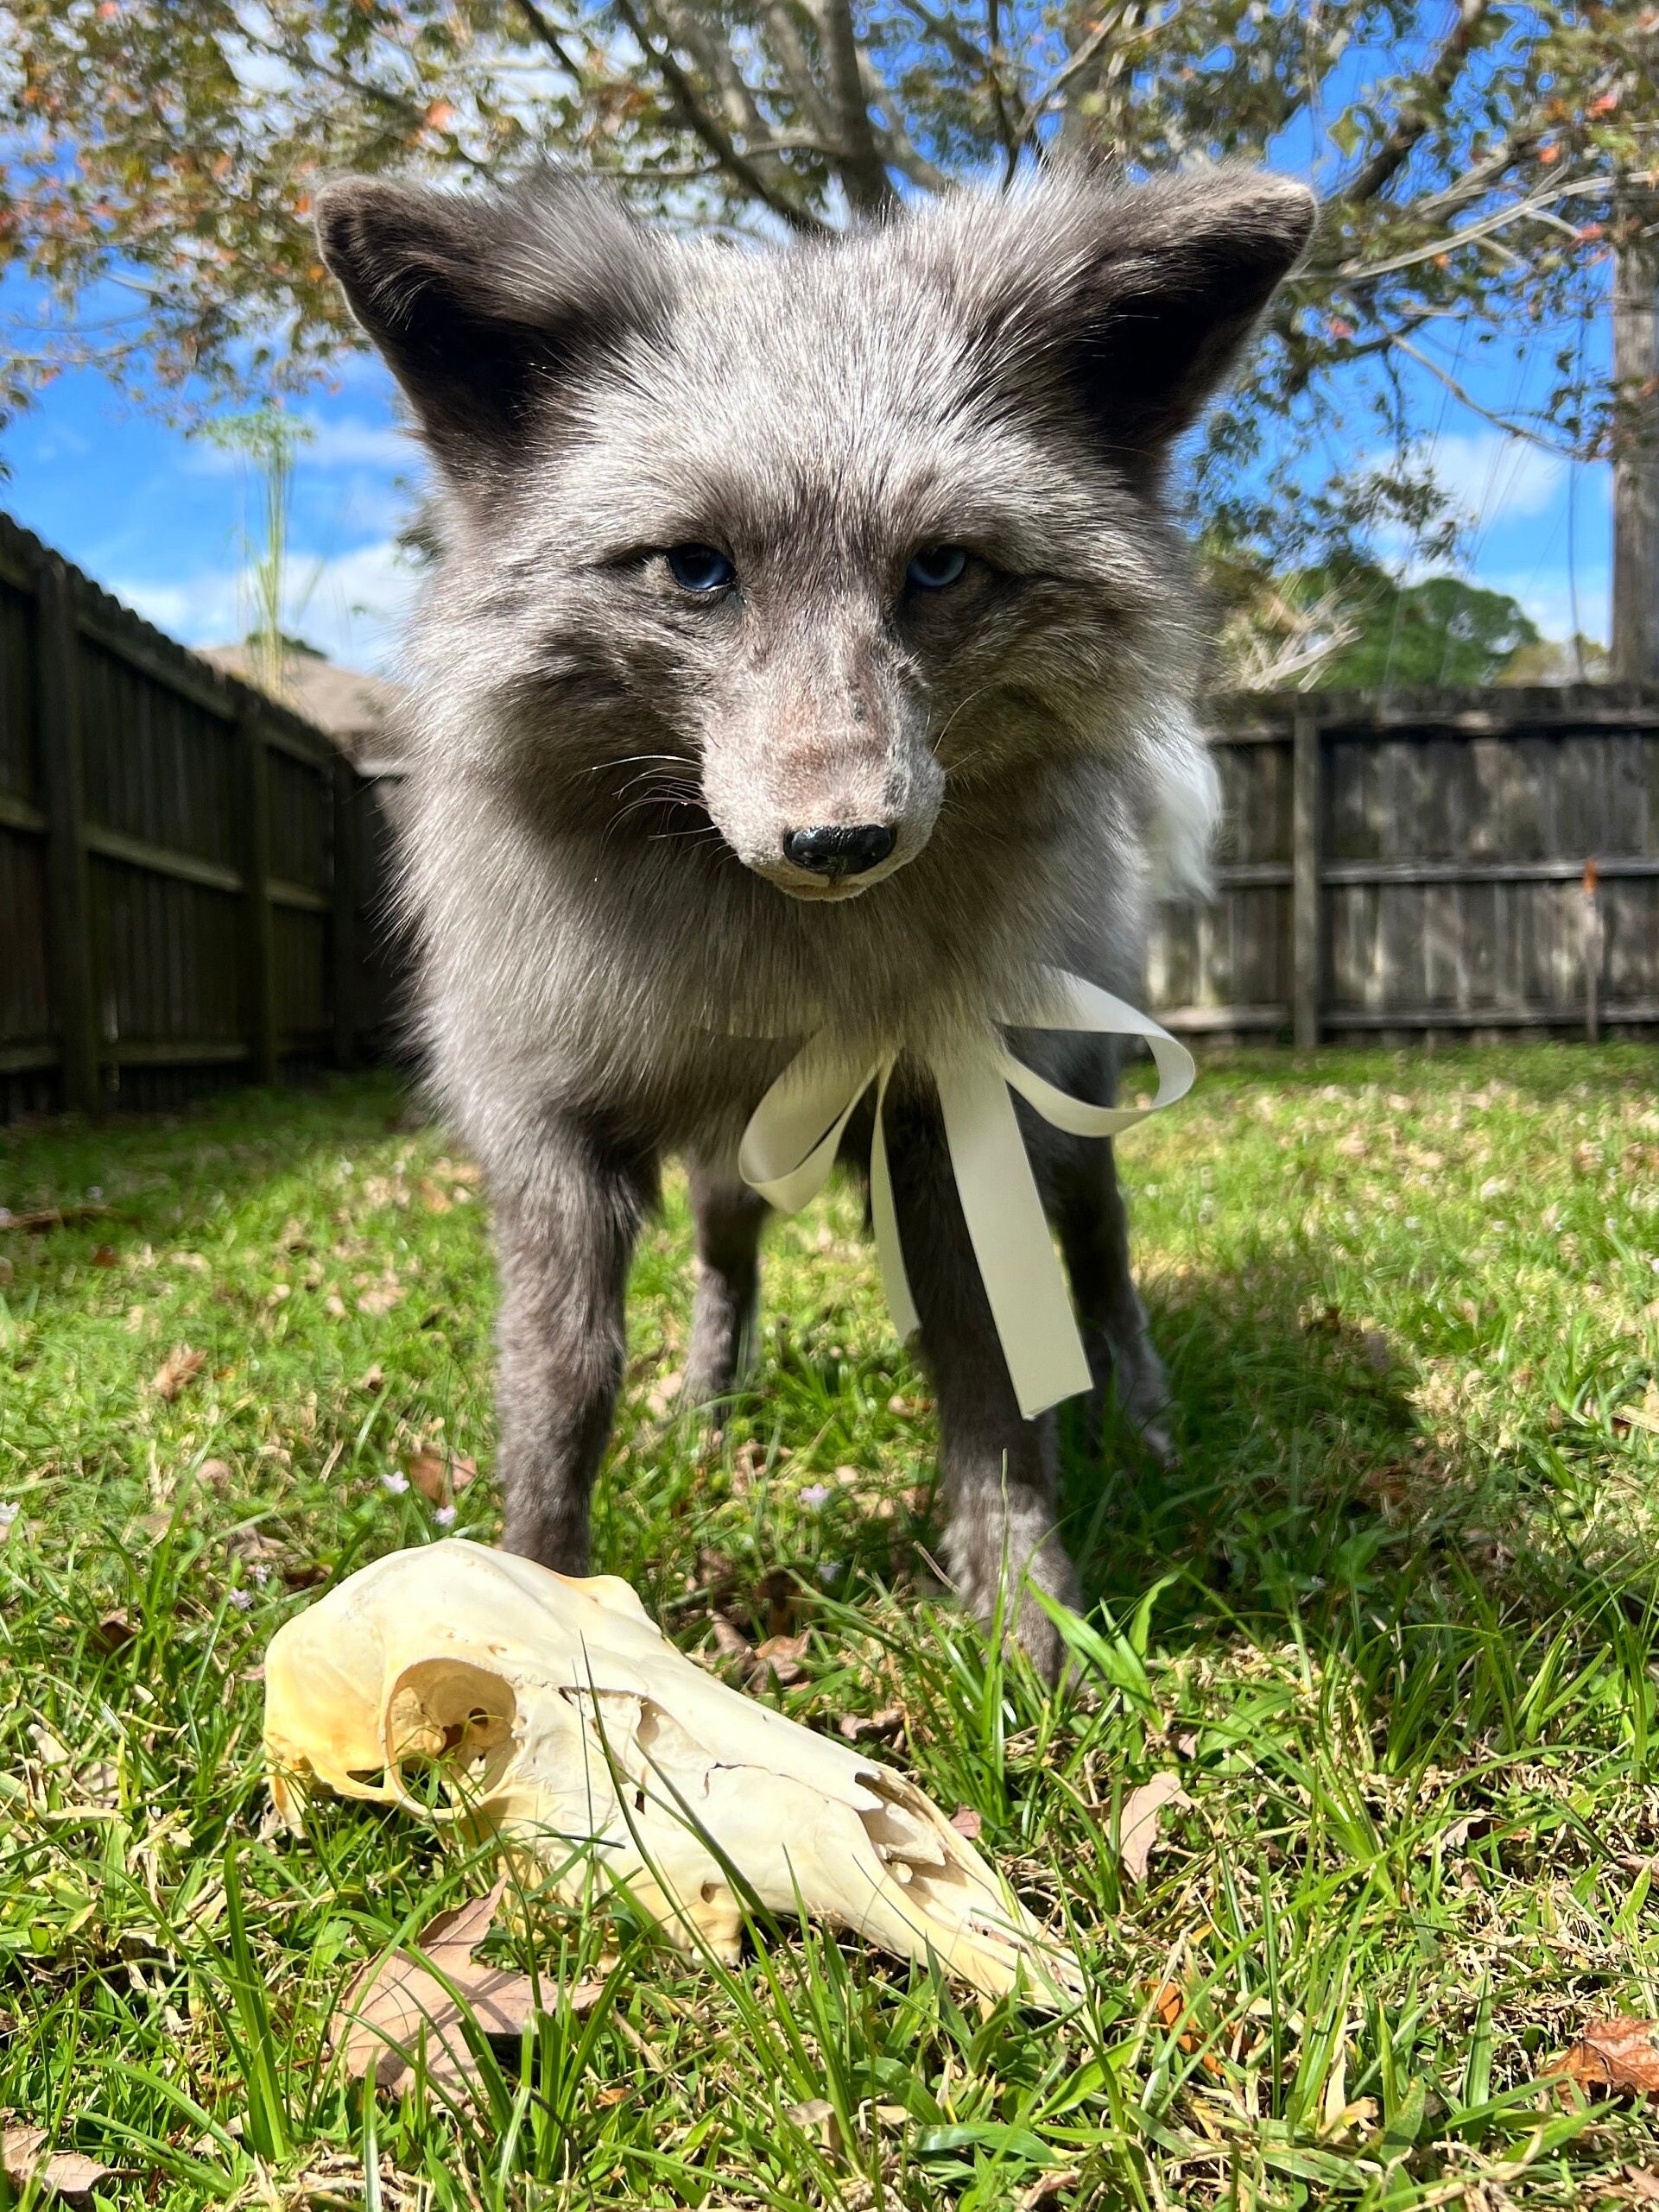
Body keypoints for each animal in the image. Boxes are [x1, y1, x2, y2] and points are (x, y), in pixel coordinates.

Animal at [317, 160, 1314, 1678]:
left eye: (942, 567)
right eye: (694, 568)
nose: (840, 840)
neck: (771, 973)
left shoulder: (954, 1125)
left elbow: (990, 1388)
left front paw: (1024, 1625)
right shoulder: (550, 1132)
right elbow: (562, 1394)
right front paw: (541, 1604)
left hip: (1075, 1106)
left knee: (1103, 1261)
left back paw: (1140, 1416)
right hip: (729, 1175)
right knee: (725, 1272)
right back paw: (710, 1402)